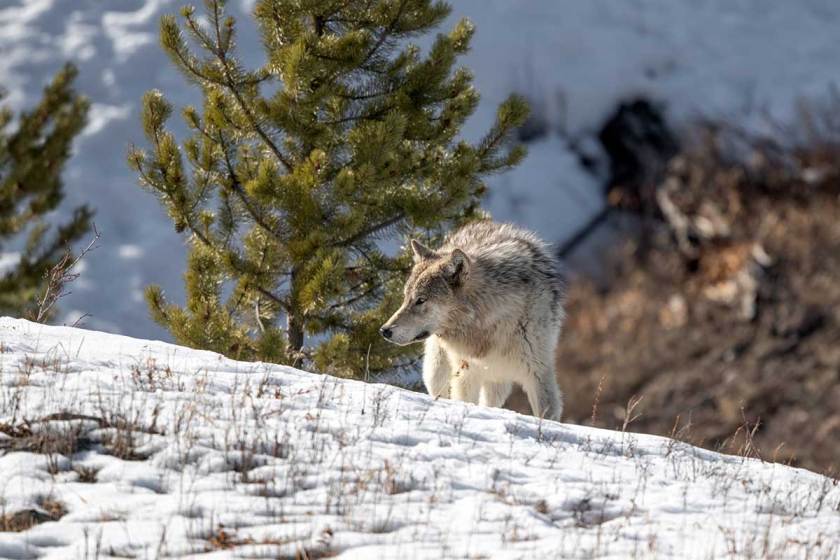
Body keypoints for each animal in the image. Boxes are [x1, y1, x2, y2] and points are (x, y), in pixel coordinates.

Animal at [380, 221, 565, 421]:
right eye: (406, 298)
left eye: (420, 300)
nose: (384, 330)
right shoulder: (467, 374)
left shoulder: (538, 373)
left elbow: (546, 415)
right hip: (438, 373)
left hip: (497, 381)